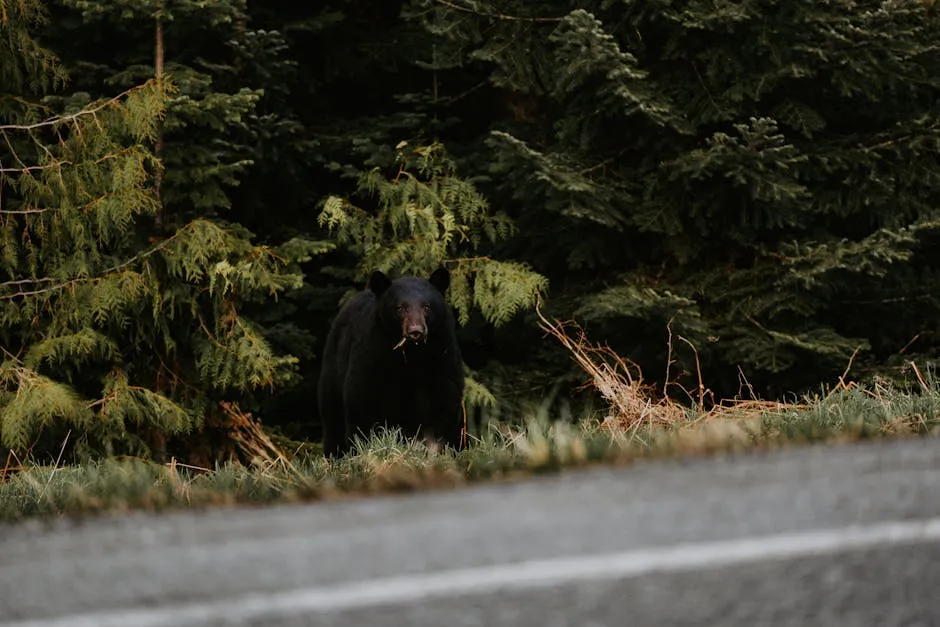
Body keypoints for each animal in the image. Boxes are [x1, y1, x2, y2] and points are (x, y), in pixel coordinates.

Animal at [318, 268, 464, 458]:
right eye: (401, 308)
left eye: (427, 307)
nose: (415, 331)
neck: (412, 356)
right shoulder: (372, 355)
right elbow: (362, 404)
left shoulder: (441, 356)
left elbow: (445, 402)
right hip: (332, 372)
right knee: (332, 418)